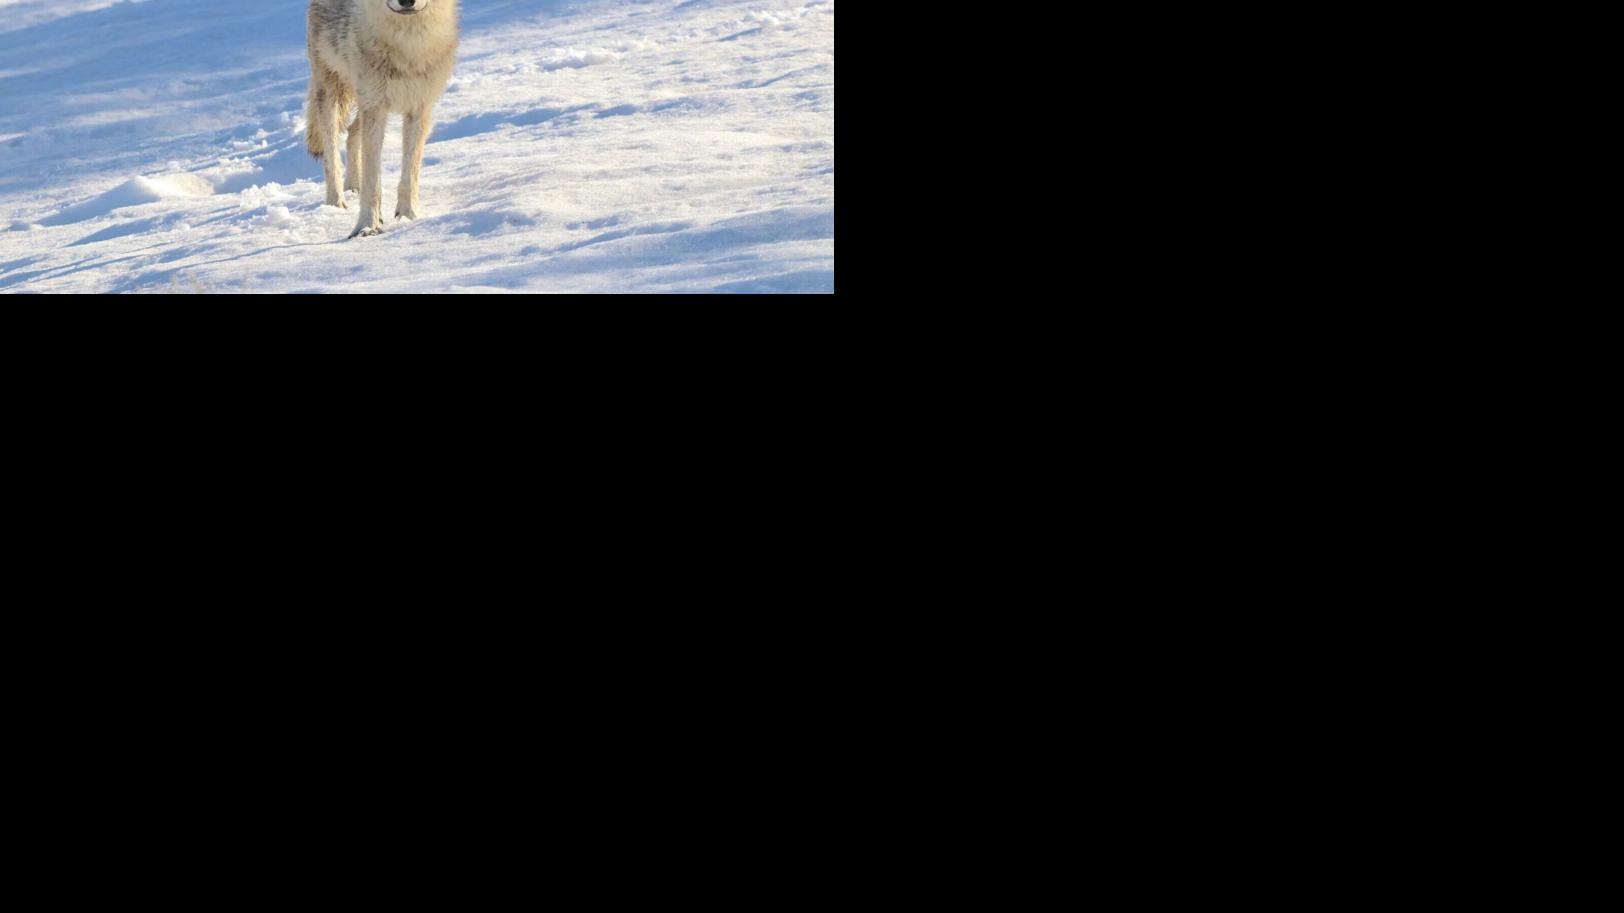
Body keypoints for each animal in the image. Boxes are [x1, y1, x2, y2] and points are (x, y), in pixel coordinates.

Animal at [306, 0, 459, 239]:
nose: (406, 2)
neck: (408, 44)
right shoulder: (375, 107)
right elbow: (372, 180)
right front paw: (367, 226)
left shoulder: (418, 109)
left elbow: (410, 174)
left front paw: (409, 217)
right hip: (332, 93)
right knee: (331, 156)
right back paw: (336, 203)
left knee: (351, 134)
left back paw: (353, 186)